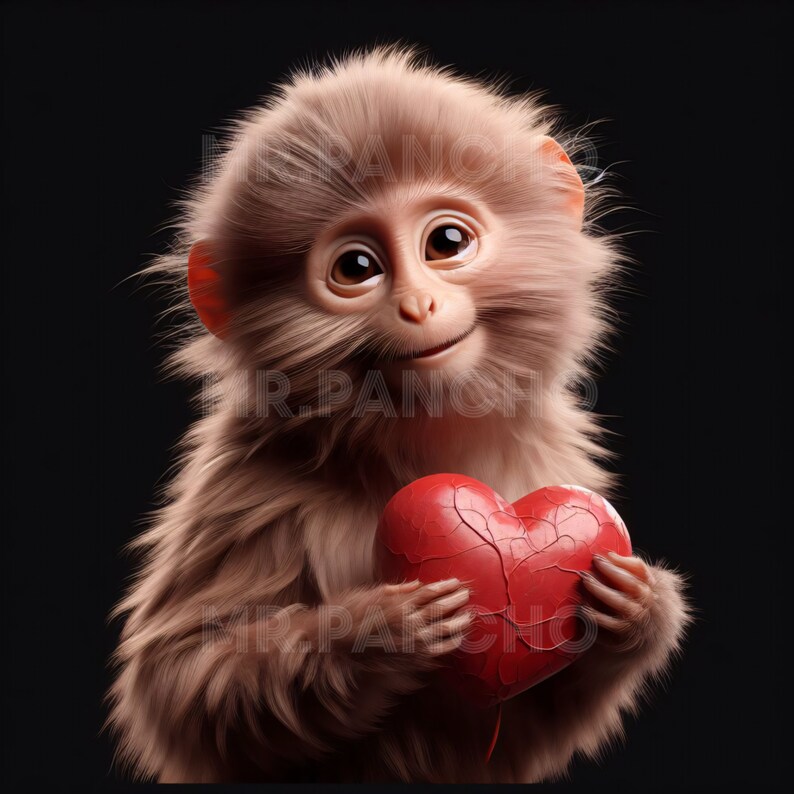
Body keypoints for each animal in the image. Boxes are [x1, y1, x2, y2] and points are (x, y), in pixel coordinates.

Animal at [107, 47, 691, 783]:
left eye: (445, 242)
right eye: (357, 267)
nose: (417, 305)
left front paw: (636, 613)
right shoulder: (249, 490)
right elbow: (183, 681)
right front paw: (376, 638)